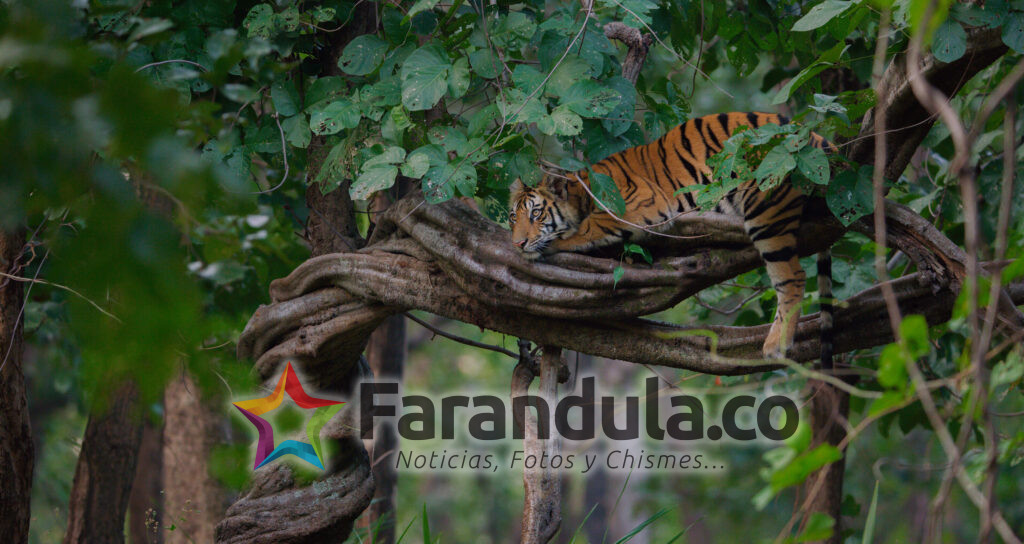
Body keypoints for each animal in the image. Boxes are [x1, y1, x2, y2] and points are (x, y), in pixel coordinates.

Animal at [509, 112, 835, 360]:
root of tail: (817, 138)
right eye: (513, 217)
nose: (518, 243)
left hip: (766, 210)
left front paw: (554, 243)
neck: (582, 194)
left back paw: (776, 345)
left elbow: (589, 228)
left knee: (792, 276)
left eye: (536, 214)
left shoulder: (638, 202)